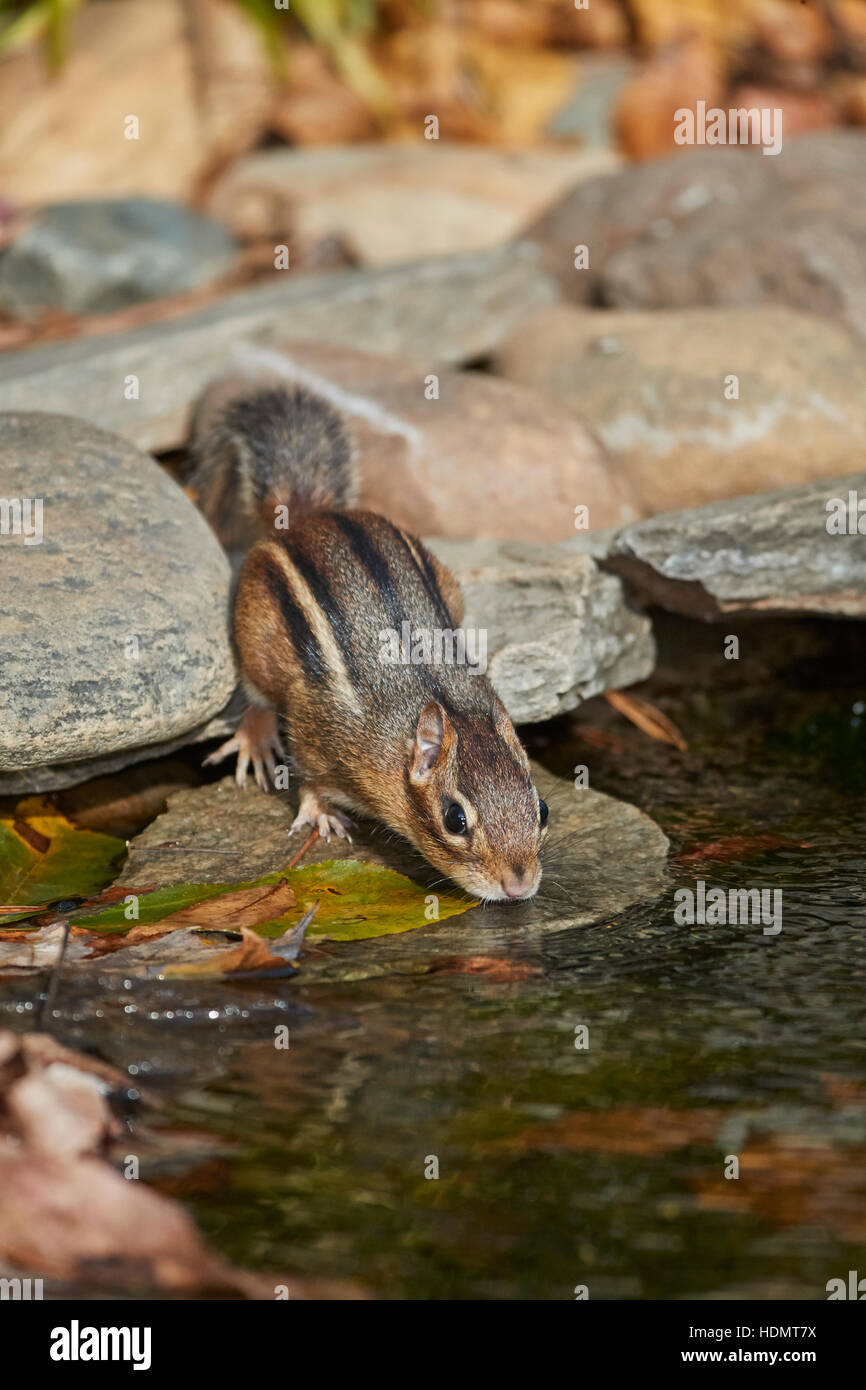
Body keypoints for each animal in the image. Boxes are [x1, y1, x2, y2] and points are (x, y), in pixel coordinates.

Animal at [187, 370, 548, 903]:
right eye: (455, 819)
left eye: (542, 809)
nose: (519, 885)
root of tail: (306, 516)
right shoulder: (317, 730)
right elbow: (310, 777)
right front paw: (322, 814)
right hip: (256, 638)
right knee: (256, 696)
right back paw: (254, 742)